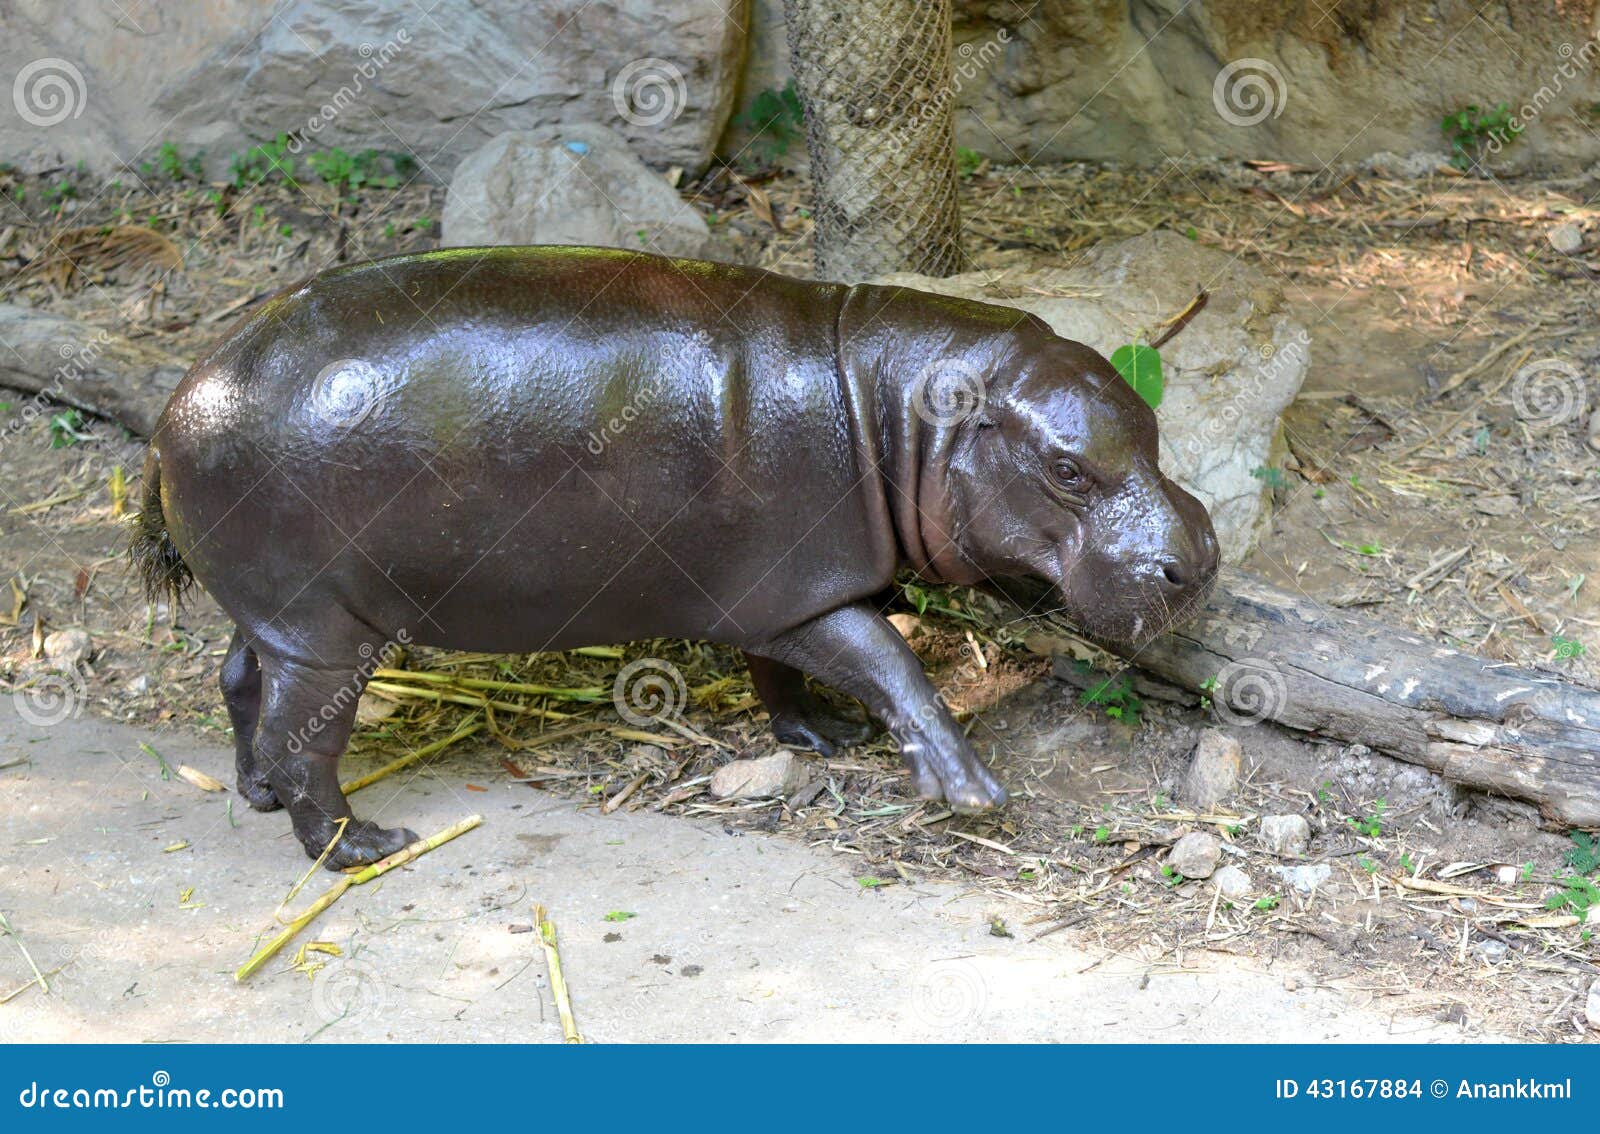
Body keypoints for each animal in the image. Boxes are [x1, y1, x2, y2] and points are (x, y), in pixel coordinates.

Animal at [130, 247, 1218, 868]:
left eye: (1154, 426)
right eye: (1067, 470)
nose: (1199, 560)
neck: (894, 409)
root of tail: (179, 402)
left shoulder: (775, 592)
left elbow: (780, 670)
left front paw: (821, 738)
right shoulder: (807, 594)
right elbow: (894, 667)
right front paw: (972, 794)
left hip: (279, 611)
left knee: (238, 683)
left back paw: (257, 797)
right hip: (326, 631)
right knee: (298, 737)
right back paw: (365, 847)